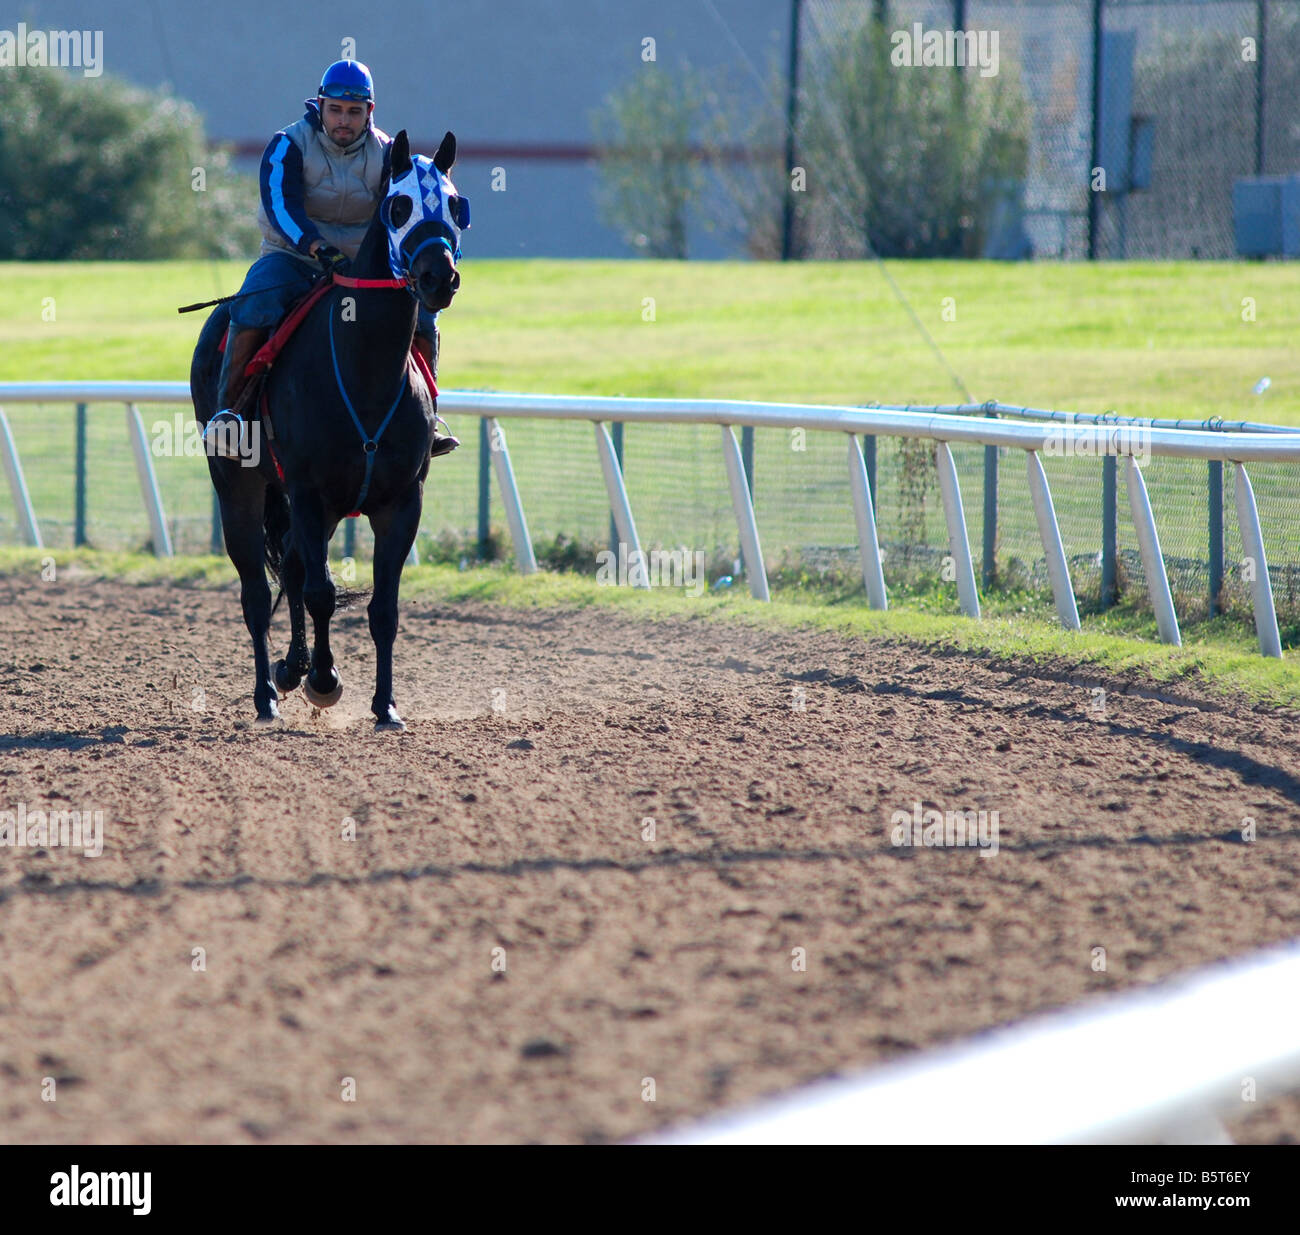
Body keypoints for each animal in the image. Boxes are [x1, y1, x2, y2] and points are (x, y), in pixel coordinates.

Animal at [190, 129, 468, 731]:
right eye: (400, 205)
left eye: (456, 204)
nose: (439, 278)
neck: (365, 370)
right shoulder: (308, 491)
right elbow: (320, 592)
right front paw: (323, 680)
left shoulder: (399, 501)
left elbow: (383, 608)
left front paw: (385, 706)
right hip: (238, 485)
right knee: (256, 590)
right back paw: (268, 694)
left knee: (292, 565)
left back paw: (290, 670)